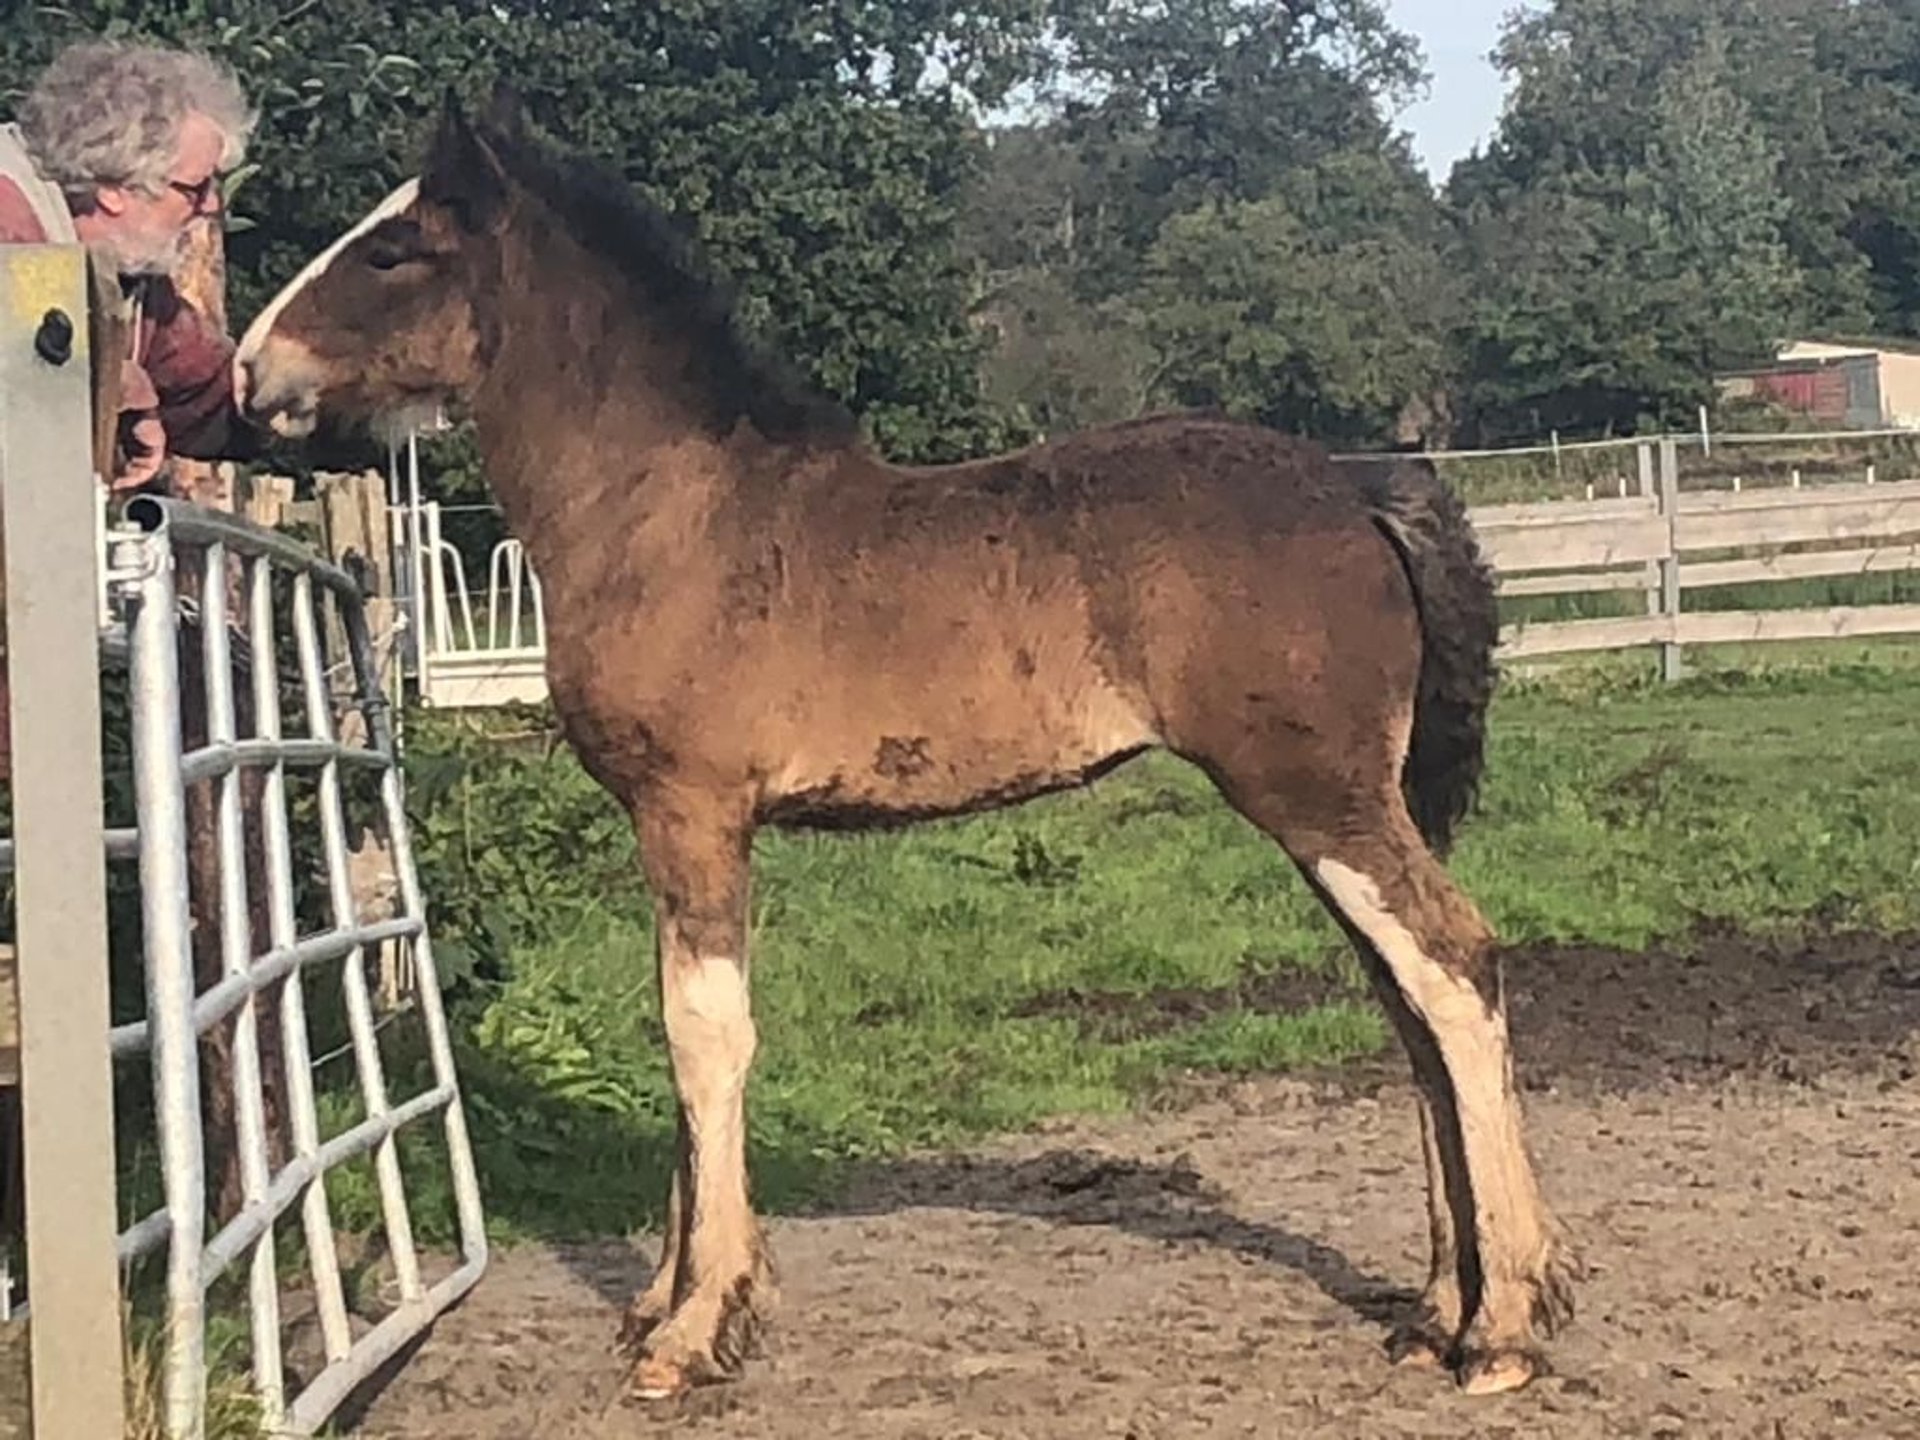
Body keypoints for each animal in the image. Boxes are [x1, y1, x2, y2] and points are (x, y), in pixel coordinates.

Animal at [232, 88, 1573, 1402]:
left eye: (394, 250)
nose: (251, 369)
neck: (668, 516)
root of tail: (1358, 490)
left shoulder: (692, 811)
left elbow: (702, 1036)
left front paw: (692, 1331)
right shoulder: (683, 827)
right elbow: (684, 1037)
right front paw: (668, 1301)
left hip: (1318, 797)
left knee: (1454, 968)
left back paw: (1504, 1327)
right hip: (1335, 808)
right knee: (1409, 999)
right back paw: (1437, 1313)